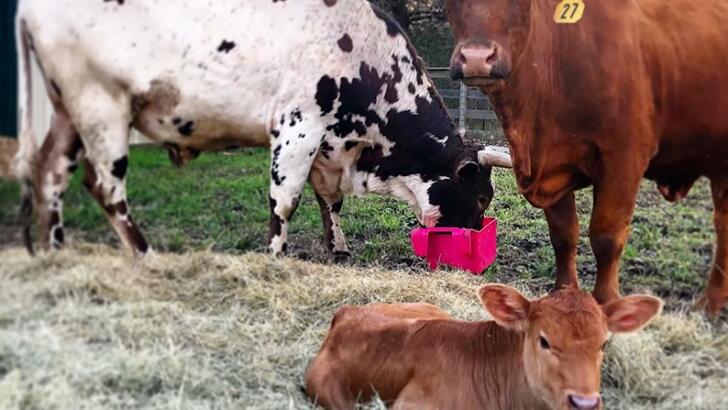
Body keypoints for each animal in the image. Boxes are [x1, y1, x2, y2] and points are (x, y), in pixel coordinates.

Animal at [12, 0, 513, 258]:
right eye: (482, 197)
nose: (475, 237)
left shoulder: (329, 147)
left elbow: (330, 202)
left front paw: (338, 248)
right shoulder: (299, 129)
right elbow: (285, 199)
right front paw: (275, 253)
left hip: (67, 113)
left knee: (51, 174)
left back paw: (56, 249)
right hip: (102, 106)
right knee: (104, 186)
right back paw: (142, 251)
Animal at [445, 0, 728, 315]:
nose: (476, 57)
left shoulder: (622, 159)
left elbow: (606, 236)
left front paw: (606, 301)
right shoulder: (551, 170)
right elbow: (563, 234)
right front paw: (563, 292)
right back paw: (713, 301)